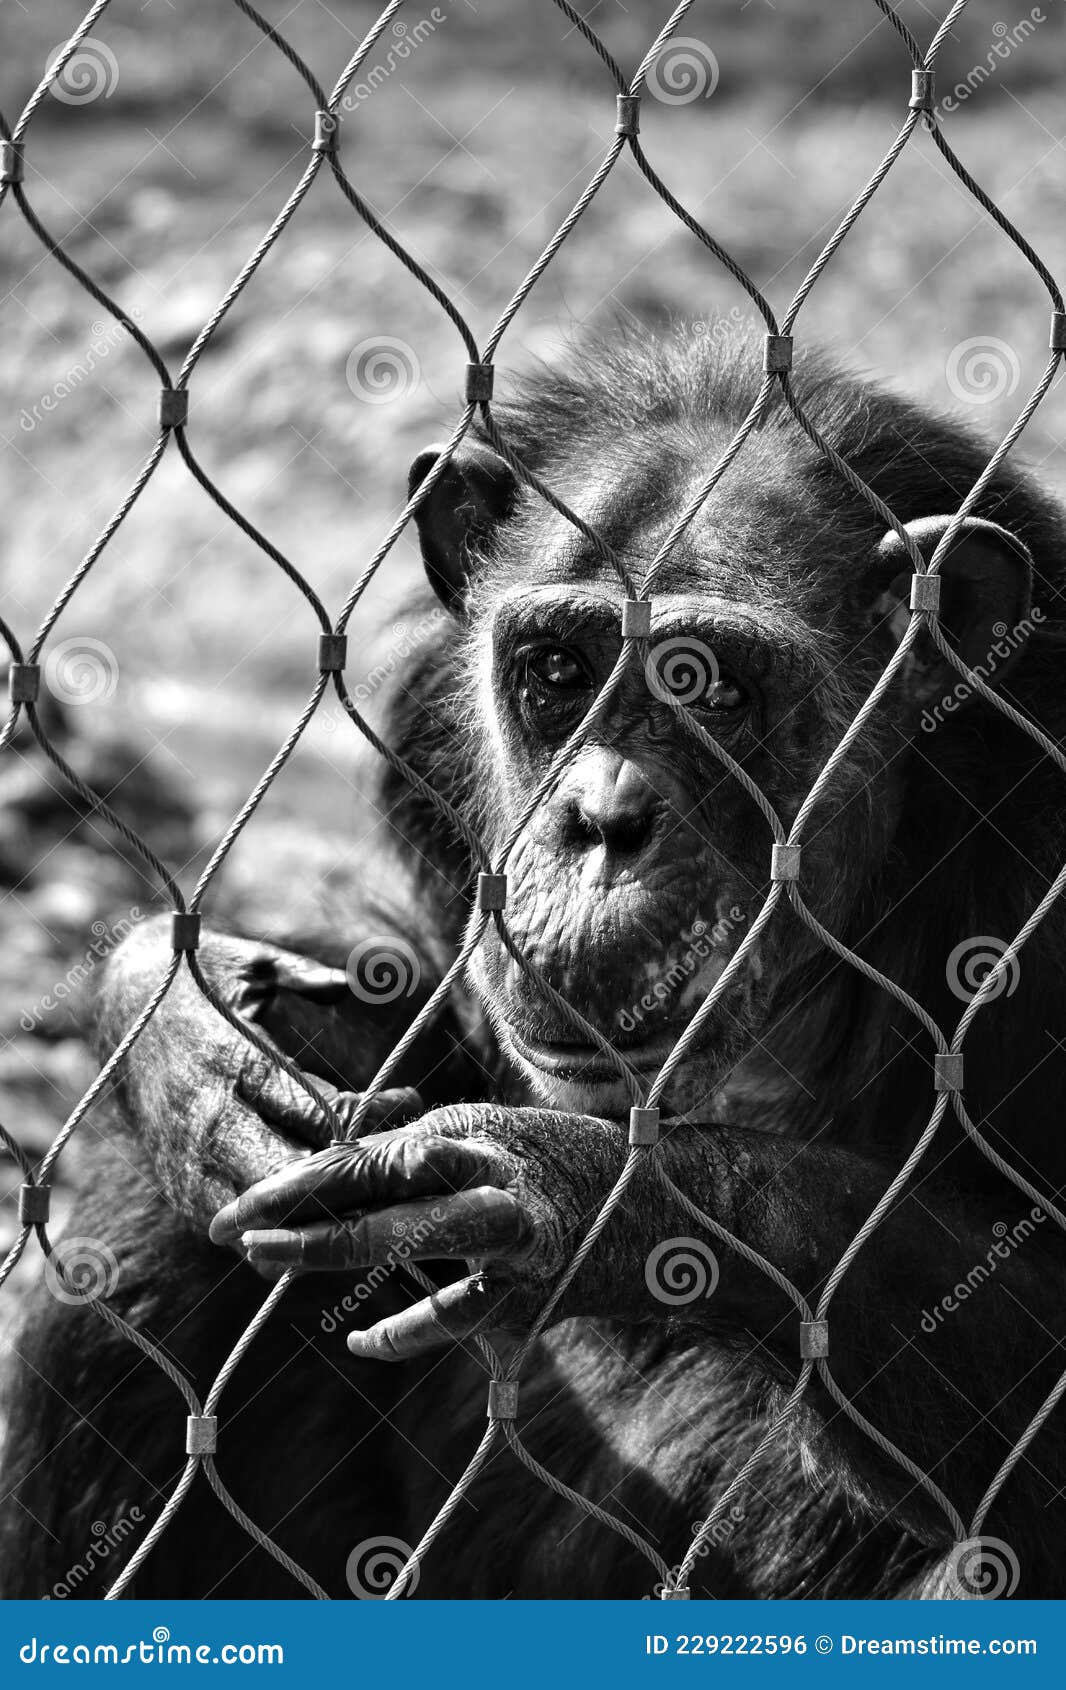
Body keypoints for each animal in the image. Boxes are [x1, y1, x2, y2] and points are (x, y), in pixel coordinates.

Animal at [2, 326, 1065, 1600]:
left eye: (709, 686)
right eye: (561, 670)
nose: (601, 819)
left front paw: (573, 1188)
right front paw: (188, 1029)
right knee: (149, 1215)